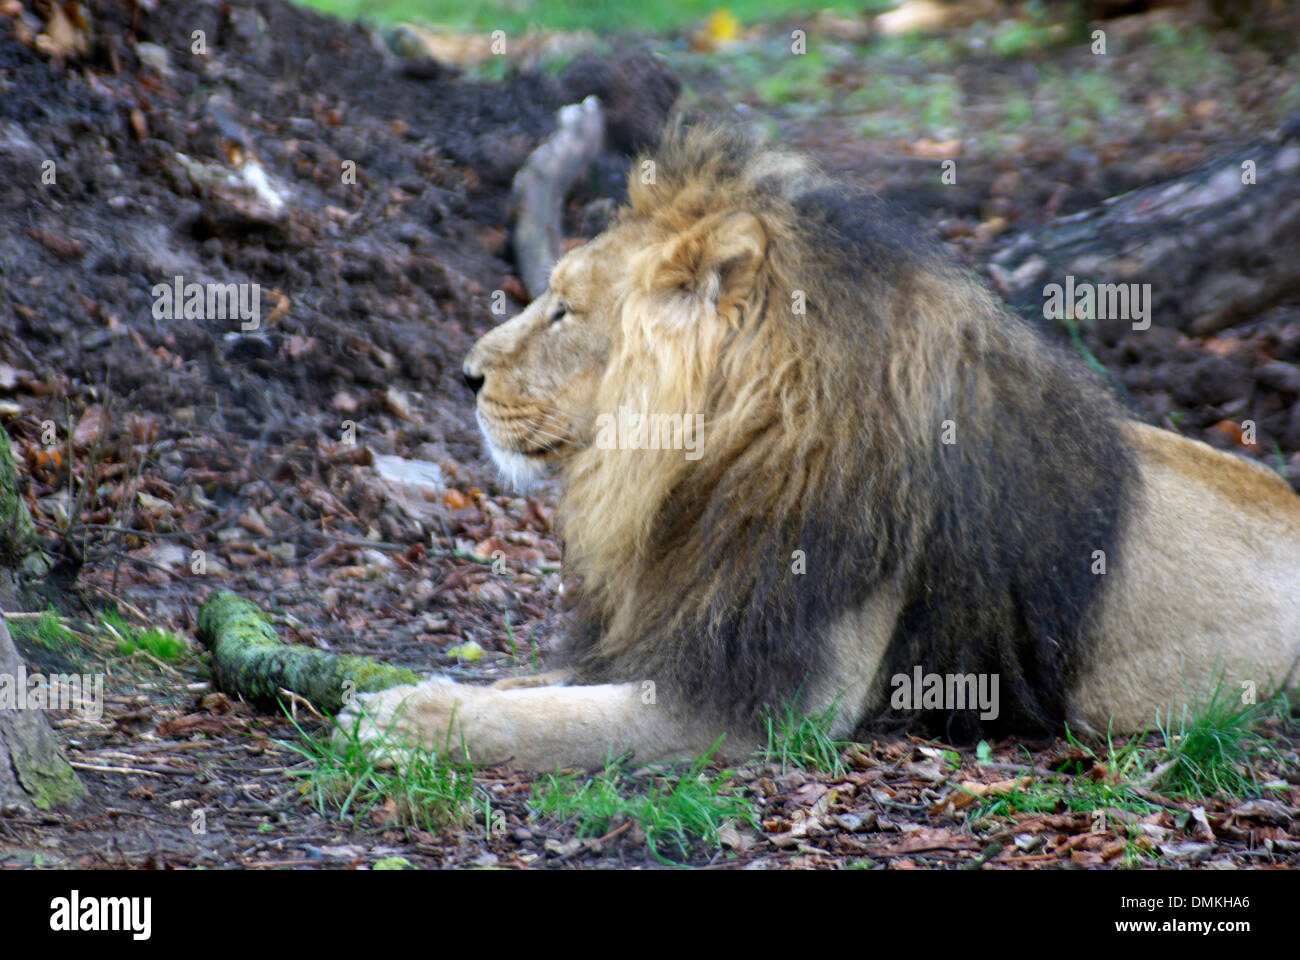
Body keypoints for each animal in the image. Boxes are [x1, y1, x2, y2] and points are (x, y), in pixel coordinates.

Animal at [341, 125, 1300, 770]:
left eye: (565, 310)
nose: (464, 374)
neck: (708, 469)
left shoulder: (769, 697)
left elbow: (557, 720)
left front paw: (406, 723)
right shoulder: (676, 630)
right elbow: (537, 686)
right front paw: (398, 694)